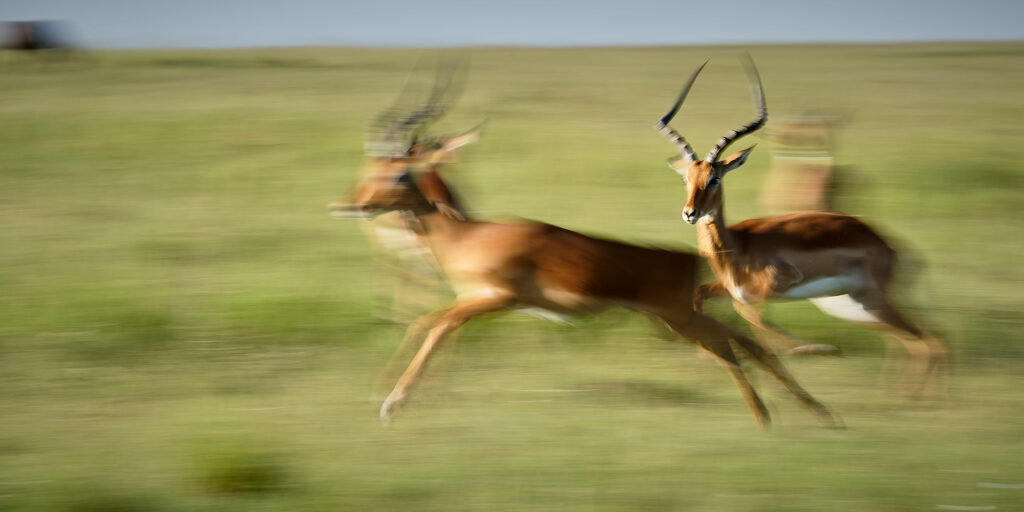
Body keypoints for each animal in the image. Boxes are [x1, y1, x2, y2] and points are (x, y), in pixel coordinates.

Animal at [329, 76, 840, 429]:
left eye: (398, 174)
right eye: (374, 166)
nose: (352, 205)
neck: (466, 236)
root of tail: (685, 257)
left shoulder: (493, 298)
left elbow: (432, 327)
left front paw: (391, 405)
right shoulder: (473, 301)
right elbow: (424, 324)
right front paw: (385, 394)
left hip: (678, 317)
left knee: (736, 344)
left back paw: (797, 414)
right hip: (679, 318)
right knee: (738, 343)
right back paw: (794, 415)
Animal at [654, 57, 947, 397]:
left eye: (715, 178)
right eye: (686, 178)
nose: (691, 213)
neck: (738, 247)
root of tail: (891, 246)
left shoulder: (771, 288)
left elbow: (752, 318)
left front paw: (812, 349)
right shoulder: (731, 289)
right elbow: (701, 297)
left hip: (874, 301)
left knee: (930, 340)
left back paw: (923, 399)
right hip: (855, 306)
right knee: (913, 340)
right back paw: (900, 395)